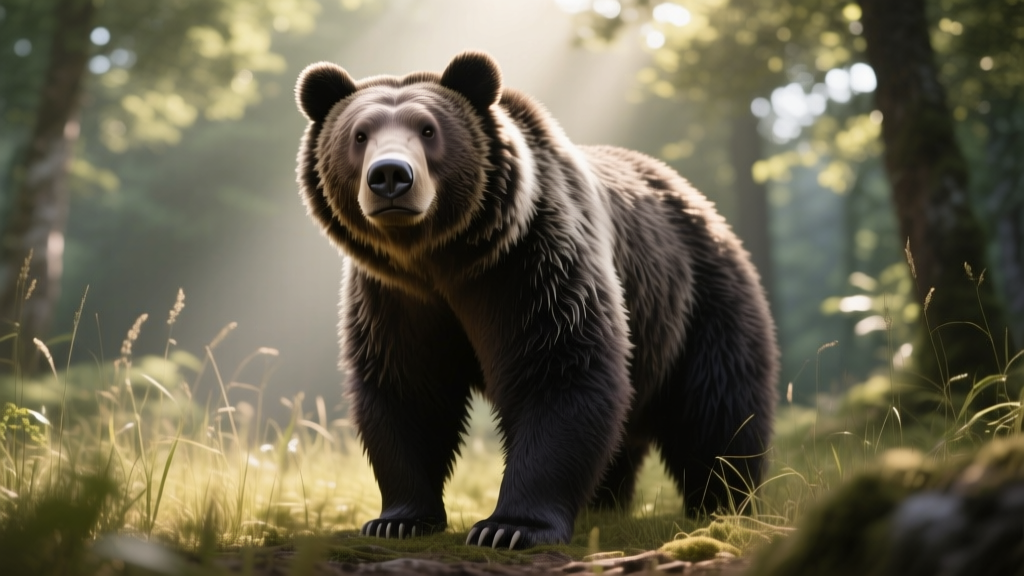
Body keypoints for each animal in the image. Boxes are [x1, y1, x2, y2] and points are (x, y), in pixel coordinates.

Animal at [294, 51, 778, 549]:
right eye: (359, 134)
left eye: (428, 129)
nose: (390, 175)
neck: (441, 261)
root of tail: (701, 202)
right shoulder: (395, 298)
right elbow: (409, 388)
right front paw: (397, 519)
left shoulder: (531, 264)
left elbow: (559, 369)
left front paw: (508, 527)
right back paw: (606, 504)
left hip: (700, 300)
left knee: (718, 410)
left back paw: (725, 504)